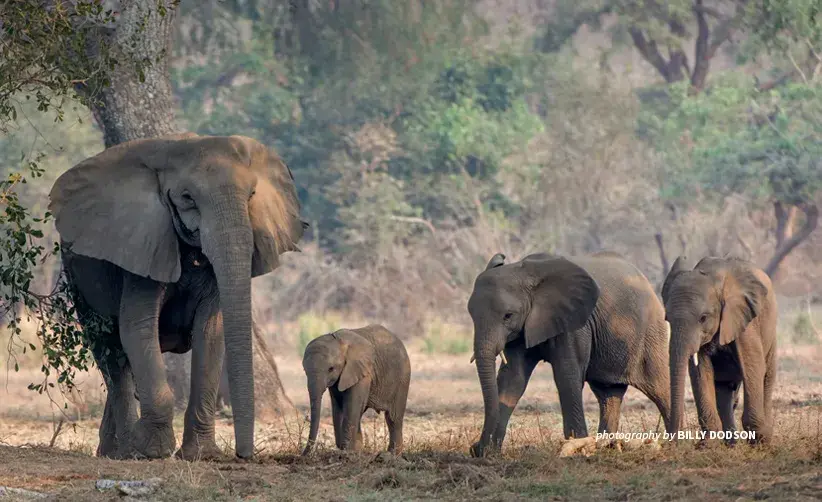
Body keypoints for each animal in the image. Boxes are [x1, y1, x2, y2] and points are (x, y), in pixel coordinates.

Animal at [48, 133, 306, 460]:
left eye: (251, 195)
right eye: (187, 198)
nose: (243, 455)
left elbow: (211, 333)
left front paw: (201, 454)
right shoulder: (143, 243)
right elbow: (137, 328)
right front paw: (153, 451)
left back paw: (114, 450)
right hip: (78, 277)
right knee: (110, 351)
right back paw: (124, 451)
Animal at [302, 325, 411, 455]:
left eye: (331, 369)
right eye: (305, 371)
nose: (303, 454)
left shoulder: (363, 372)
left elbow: (351, 405)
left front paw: (346, 451)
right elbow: (339, 406)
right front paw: (349, 450)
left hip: (402, 377)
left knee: (393, 417)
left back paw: (392, 454)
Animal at [467, 251, 671, 457]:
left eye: (508, 315)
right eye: (471, 314)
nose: (474, 448)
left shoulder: (575, 323)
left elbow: (566, 375)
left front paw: (575, 448)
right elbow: (512, 380)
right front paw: (488, 453)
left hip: (652, 334)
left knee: (661, 388)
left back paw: (674, 444)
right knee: (608, 393)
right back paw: (608, 446)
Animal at [661, 256, 777, 444]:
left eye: (703, 318)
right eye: (667, 318)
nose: (671, 444)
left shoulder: (744, 321)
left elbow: (753, 366)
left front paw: (758, 441)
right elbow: (700, 372)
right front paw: (706, 446)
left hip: (770, 334)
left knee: (767, 376)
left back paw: (763, 439)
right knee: (724, 389)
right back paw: (731, 444)